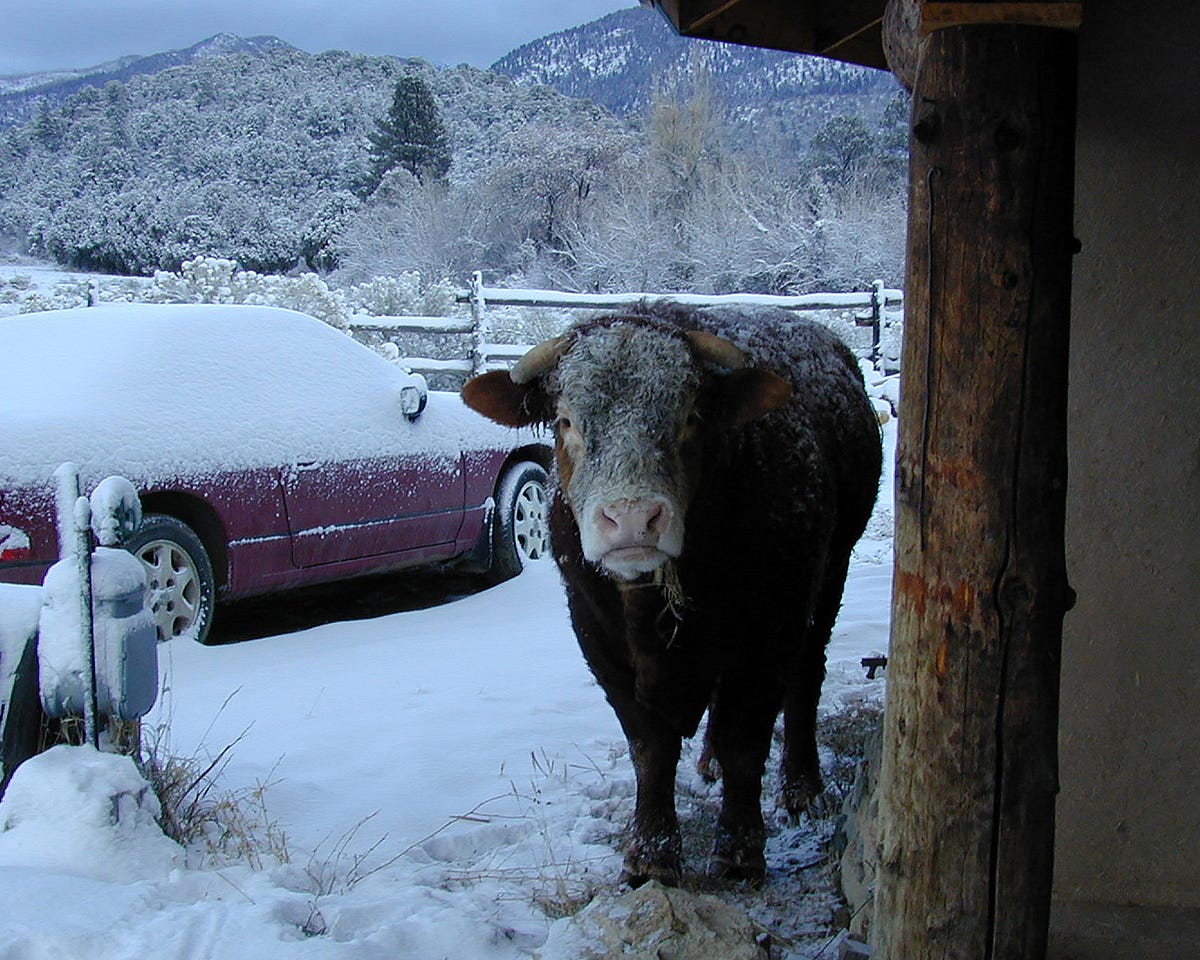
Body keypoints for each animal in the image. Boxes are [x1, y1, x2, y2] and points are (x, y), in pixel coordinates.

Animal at [462, 302, 881, 885]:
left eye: (690, 417)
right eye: (566, 420)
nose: (632, 518)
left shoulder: (771, 626)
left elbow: (746, 737)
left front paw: (739, 848)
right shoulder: (597, 634)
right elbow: (651, 747)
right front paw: (651, 853)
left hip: (831, 572)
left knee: (806, 677)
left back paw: (801, 785)